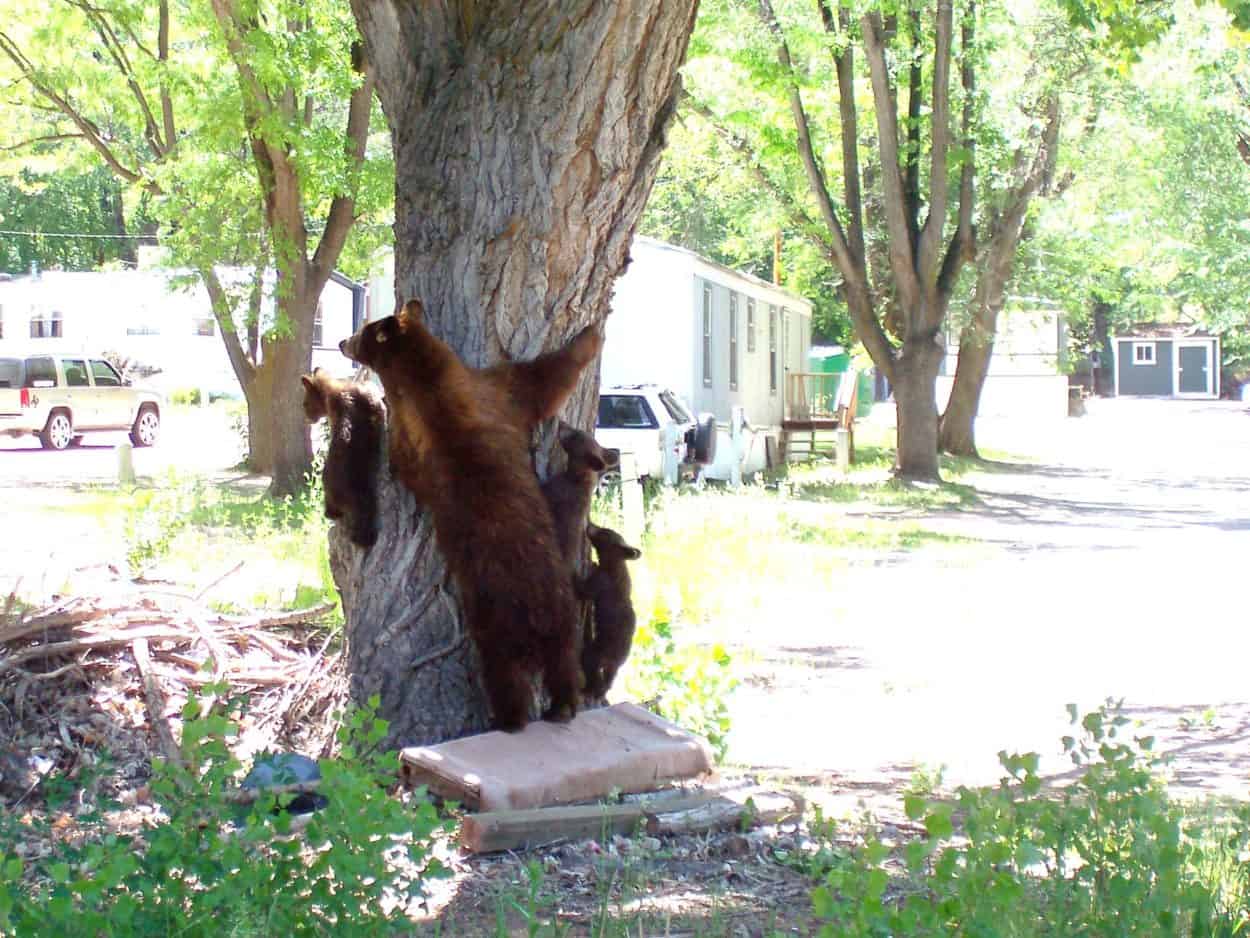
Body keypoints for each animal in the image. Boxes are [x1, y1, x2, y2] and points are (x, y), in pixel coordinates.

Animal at [339, 299, 596, 731]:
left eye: (361, 332)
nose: (342, 342)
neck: (426, 377)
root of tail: (536, 620)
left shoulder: (479, 394)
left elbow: (538, 380)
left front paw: (590, 331)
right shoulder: (485, 395)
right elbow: (538, 383)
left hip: (499, 628)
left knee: (508, 677)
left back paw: (510, 717)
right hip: (556, 621)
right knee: (558, 668)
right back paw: (557, 707)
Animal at [578, 524, 642, 701]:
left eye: (605, 532)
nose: (589, 524)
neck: (615, 561)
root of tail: (618, 661)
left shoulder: (604, 580)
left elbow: (584, 590)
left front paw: (589, 567)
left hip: (604, 647)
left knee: (589, 660)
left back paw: (592, 689)